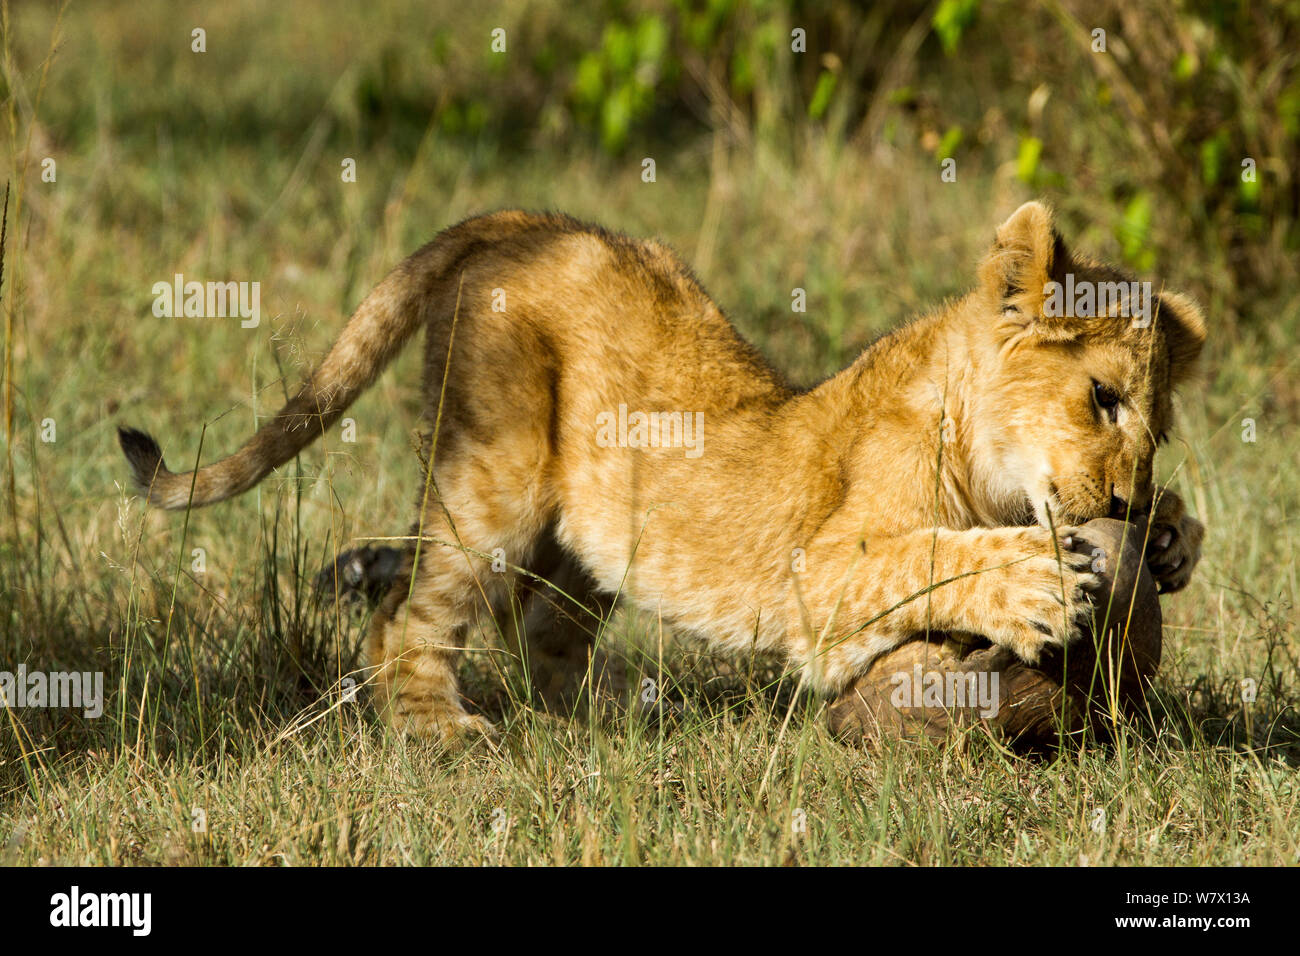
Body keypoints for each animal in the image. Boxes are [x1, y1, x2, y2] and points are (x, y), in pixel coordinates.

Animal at [118, 201, 1206, 747]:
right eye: (1102, 398)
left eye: (1156, 424)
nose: (1123, 502)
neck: (975, 443)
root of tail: (530, 224)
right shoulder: (817, 575)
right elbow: (933, 554)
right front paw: (1032, 581)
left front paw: (1173, 534)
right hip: (493, 473)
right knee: (407, 613)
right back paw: (444, 728)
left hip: (597, 528)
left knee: (540, 631)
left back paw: (613, 715)